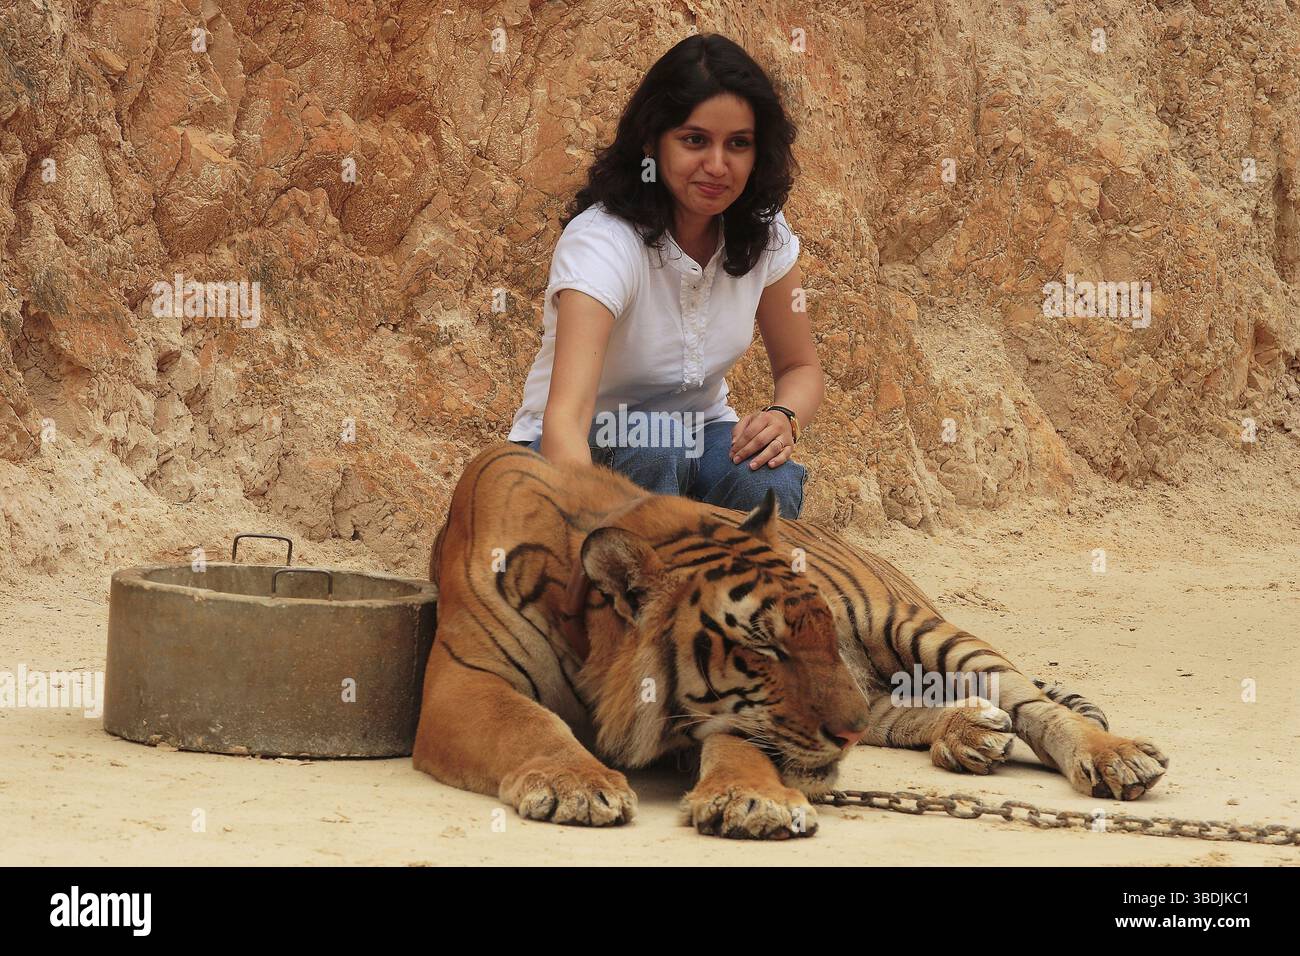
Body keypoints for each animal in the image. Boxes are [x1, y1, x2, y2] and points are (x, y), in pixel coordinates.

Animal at [412, 441, 1168, 839]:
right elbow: (529, 725)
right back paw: (970, 734)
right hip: (880, 695)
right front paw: (578, 784)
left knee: (1031, 701)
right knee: (911, 712)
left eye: (816, 632)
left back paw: (1114, 755)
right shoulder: (464, 680)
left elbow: (744, 746)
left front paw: (754, 801)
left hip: (913, 627)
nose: (844, 731)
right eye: (766, 648)